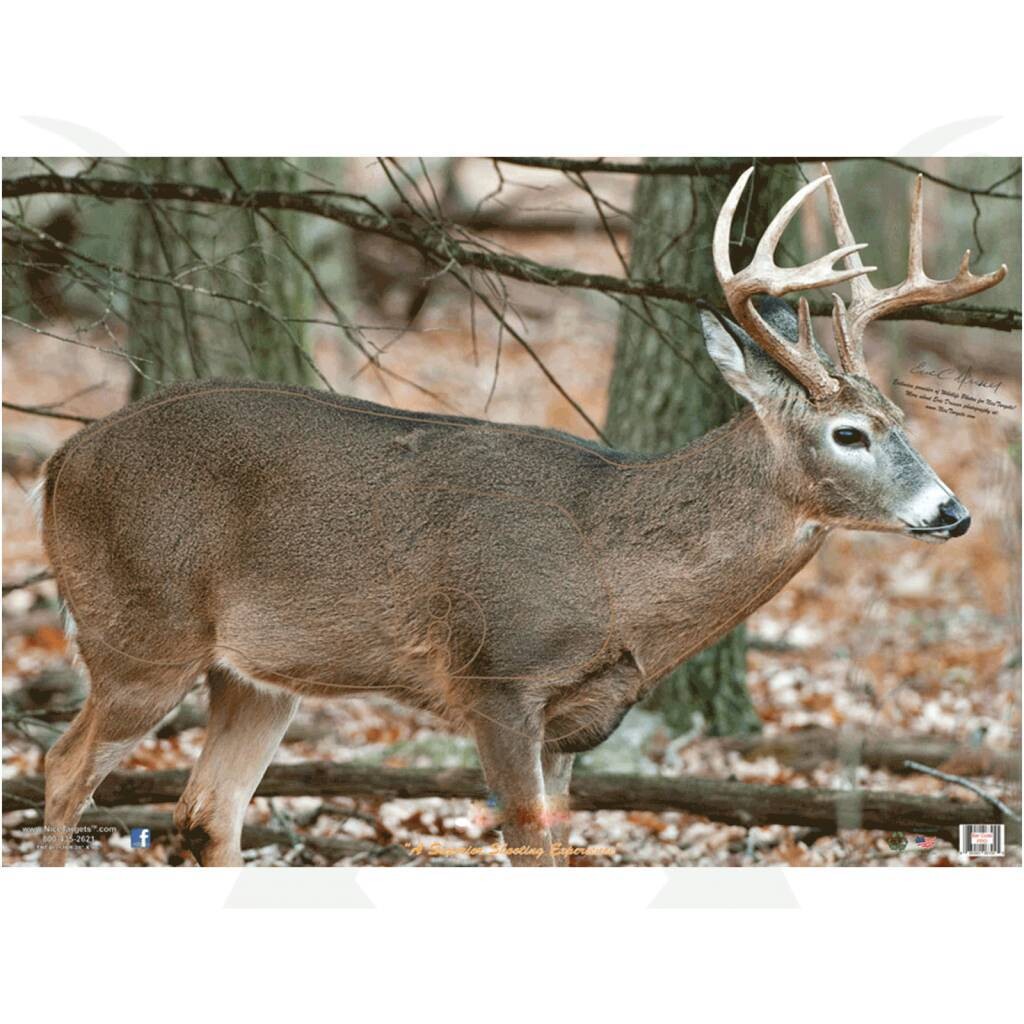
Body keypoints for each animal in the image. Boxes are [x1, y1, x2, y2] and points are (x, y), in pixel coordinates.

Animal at [35, 166, 1006, 867]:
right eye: (849, 433)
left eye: (902, 418)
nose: (952, 511)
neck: (612, 571)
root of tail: (59, 462)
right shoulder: (495, 675)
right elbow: (528, 846)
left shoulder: (579, 716)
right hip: (139, 632)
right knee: (62, 767)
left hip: (259, 673)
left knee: (207, 812)